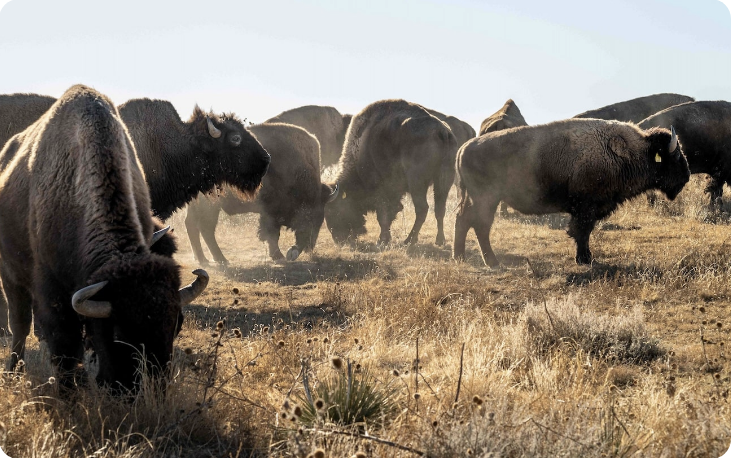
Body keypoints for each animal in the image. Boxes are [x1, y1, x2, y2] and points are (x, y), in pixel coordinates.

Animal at [0, 85, 208, 392]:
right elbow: (64, 345)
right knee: (20, 323)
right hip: (11, 275)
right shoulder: (53, 290)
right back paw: (15, 369)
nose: (149, 389)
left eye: (176, 324)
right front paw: (70, 390)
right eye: (119, 334)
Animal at [185, 123, 338, 264]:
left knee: (192, 224)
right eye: (313, 216)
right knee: (205, 228)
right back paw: (221, 259)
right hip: (210, 206)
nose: (308, 247)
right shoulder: (270, 212)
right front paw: (279, 256)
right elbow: (271, 233)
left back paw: (203, 259)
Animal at [325, 99, 458, 246]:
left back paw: (409, 241)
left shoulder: (380, 188)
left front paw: (382, 240)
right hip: (444, 180)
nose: (338, 239)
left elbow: (383, 215)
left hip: (417, 182)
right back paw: (439, 240)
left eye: (334, 210)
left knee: (422, 209)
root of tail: (442, 132)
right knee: (439, 209)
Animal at [454, 119, 690, 266]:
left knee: (463, 220)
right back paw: (492, 262)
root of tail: (463, 148)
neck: (628, 152)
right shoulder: (586, 207)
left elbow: (583, 232)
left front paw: (585, 257)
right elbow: (582, 231)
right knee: (479, 225)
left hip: (480, 199)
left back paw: (461, 257)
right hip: (487, 199)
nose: (686, 177)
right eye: (676, 156)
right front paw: (585, 259)